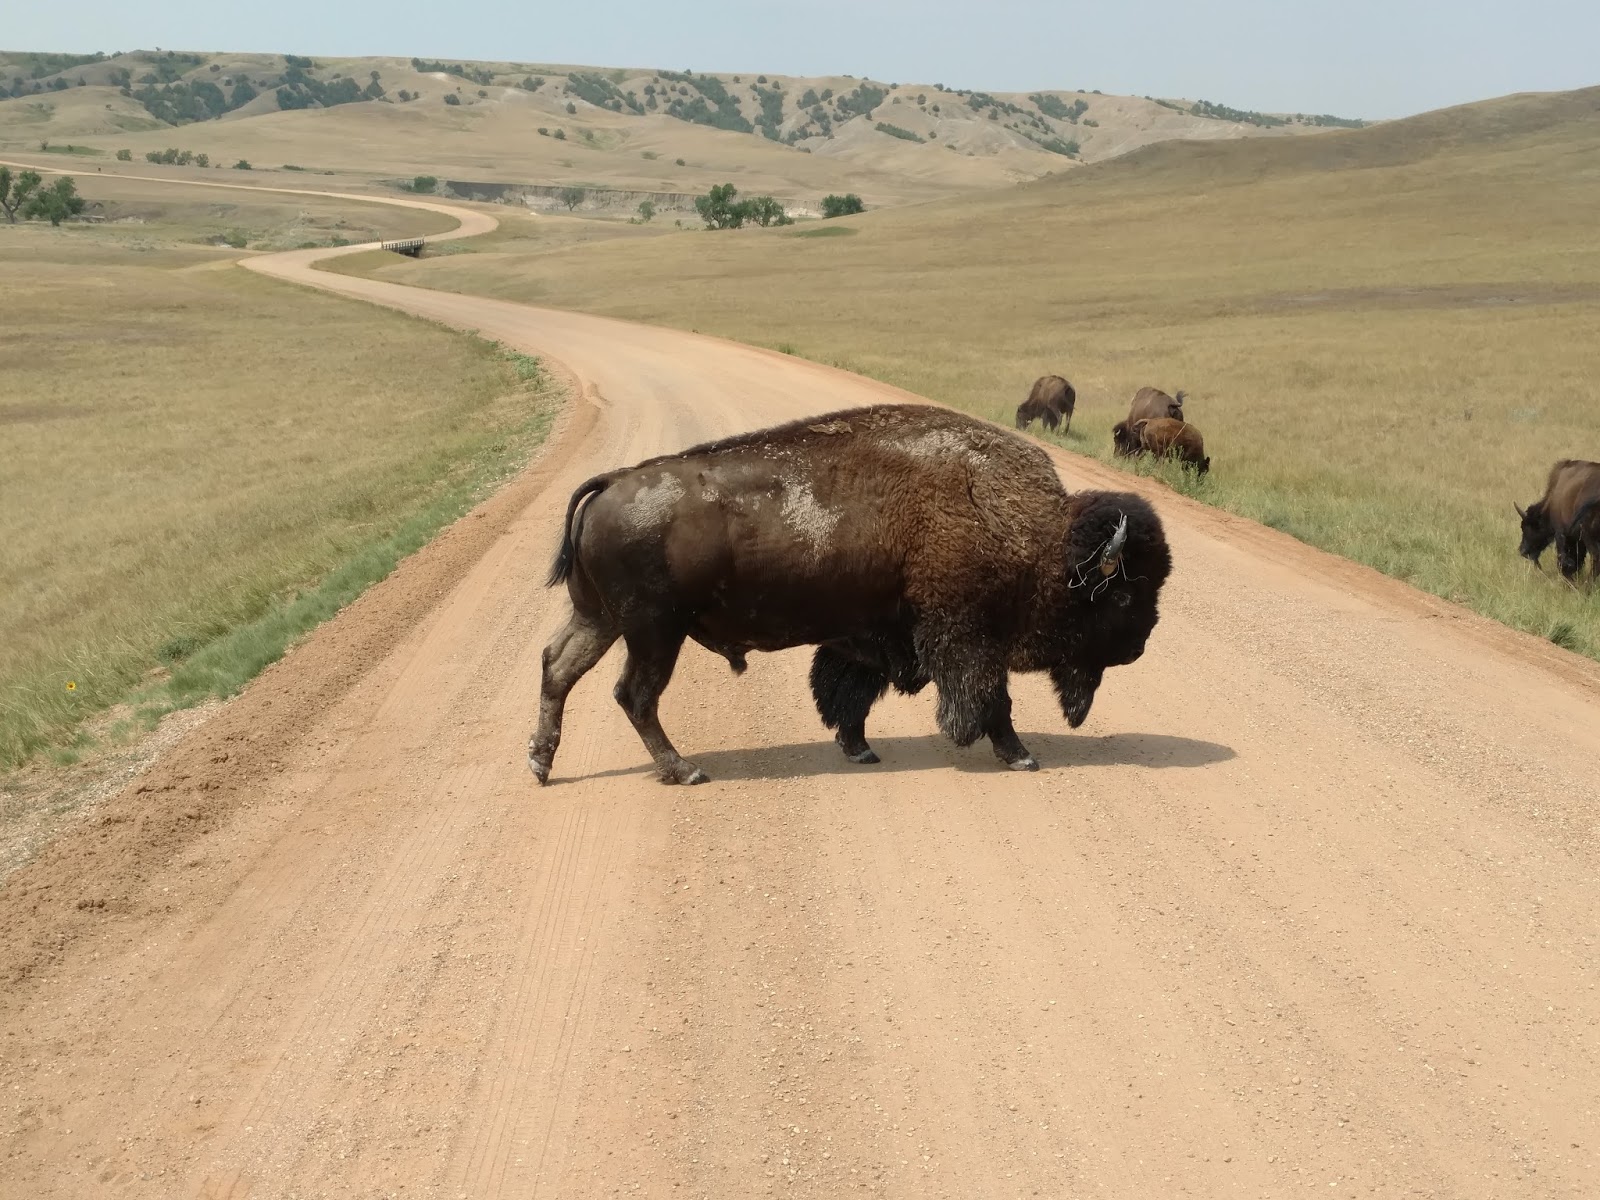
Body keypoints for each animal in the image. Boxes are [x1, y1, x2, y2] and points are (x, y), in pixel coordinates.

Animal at [529, 404, 1172, 785]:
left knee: (558, 668)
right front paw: (1020, 756)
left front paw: (859, 749)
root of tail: (613, 481)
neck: (1034, 534)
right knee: (633, 695)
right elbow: (993, 701)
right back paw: (682, 770)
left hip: (599, 618)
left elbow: (850, 695)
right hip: (655, 632)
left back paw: (540, 762)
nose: (1138, 648)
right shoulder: (966, 637)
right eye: (1121, 597)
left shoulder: (870, 637)